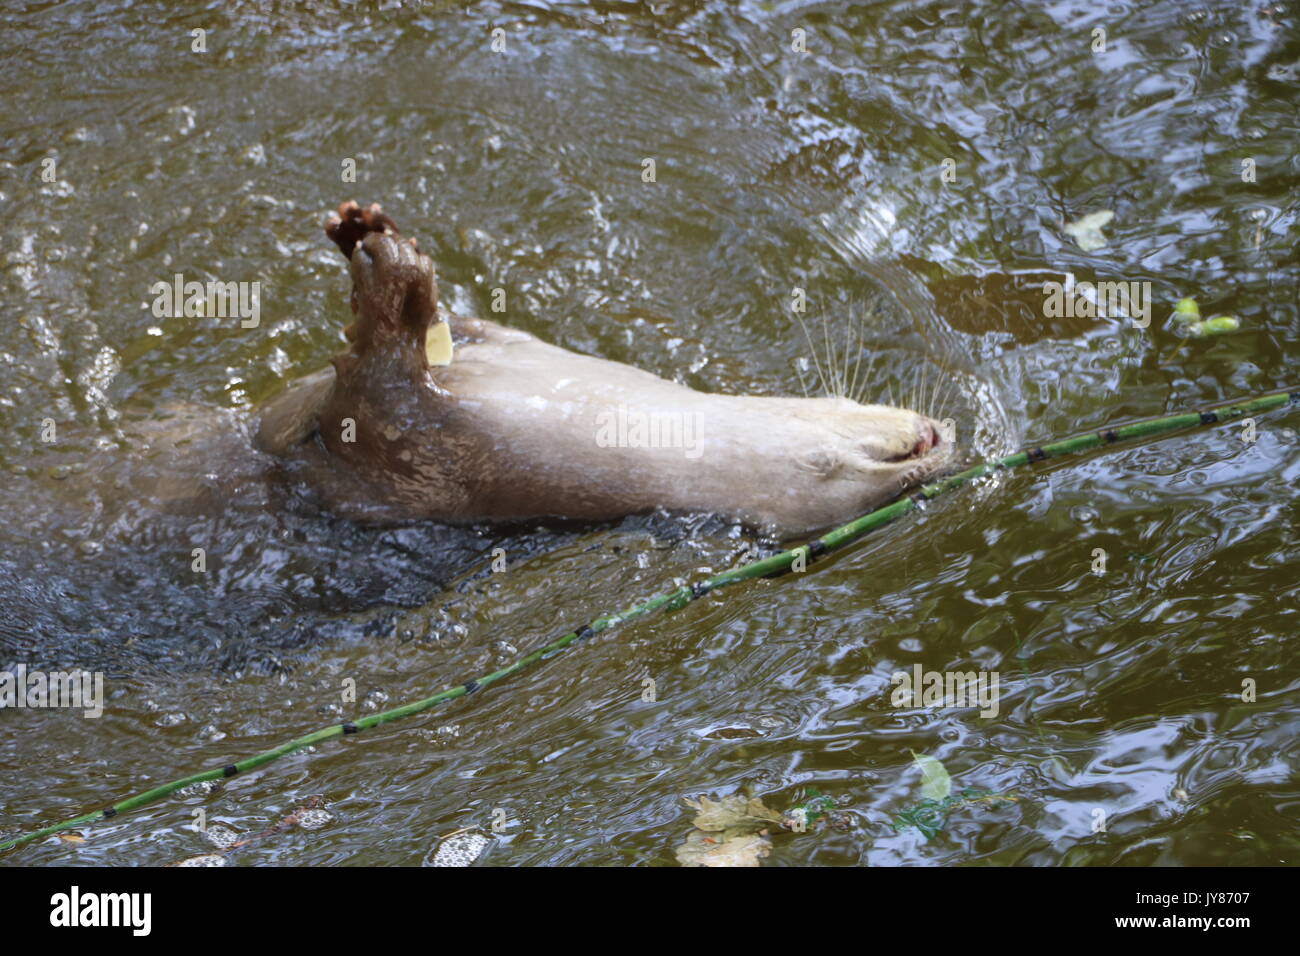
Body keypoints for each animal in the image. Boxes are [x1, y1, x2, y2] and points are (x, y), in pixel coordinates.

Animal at [254, 202, 951, 536]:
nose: (932, 439)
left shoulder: (418, 460)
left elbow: (376, 388)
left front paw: (392, 287)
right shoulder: (506, 347)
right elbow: (452, 330)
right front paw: (365, 230)